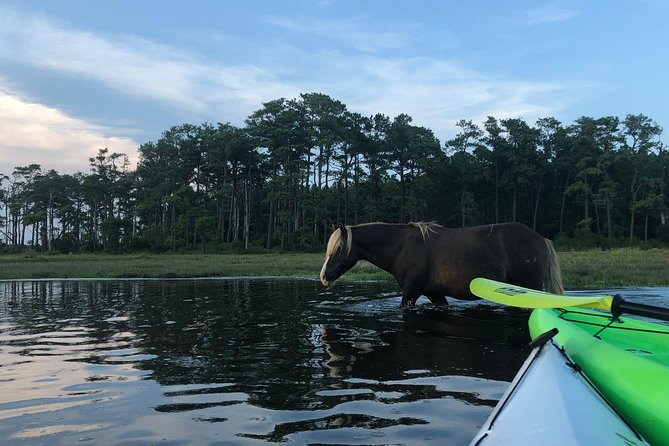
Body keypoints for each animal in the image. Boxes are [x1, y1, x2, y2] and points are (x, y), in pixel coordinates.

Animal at [320, 221, 564, 307]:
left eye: (338, 249)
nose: (323, 276)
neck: (402, 246)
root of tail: (541, 239)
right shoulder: (434, 293)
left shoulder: (411, 292)